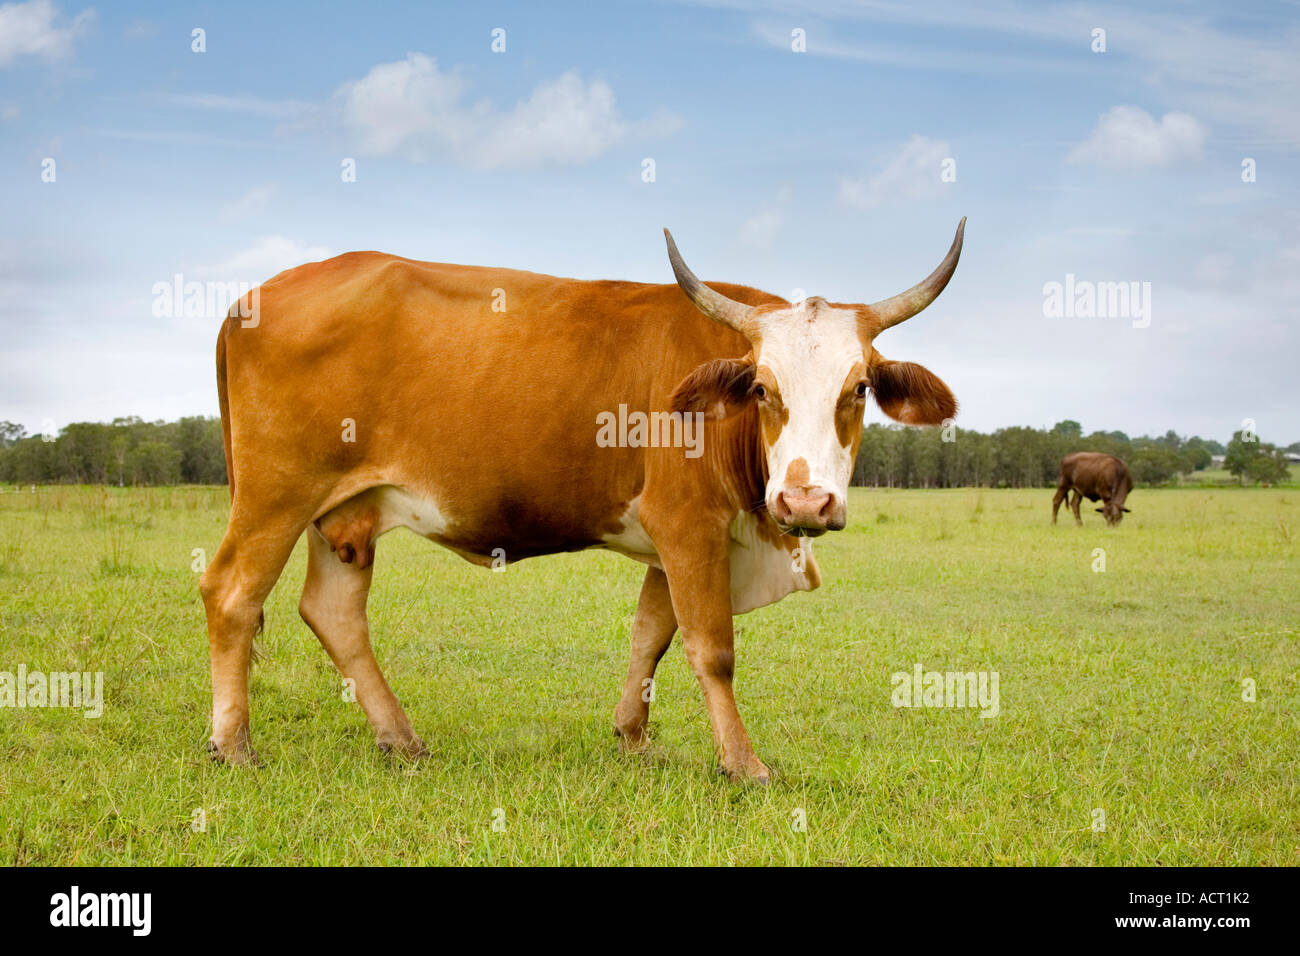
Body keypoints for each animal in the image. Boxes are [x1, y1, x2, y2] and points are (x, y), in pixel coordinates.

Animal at [200, 219, 965, 782]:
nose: (805, 501)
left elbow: (651, 632)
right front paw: (743, 763)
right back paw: (233, 743)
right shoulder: (687, 523)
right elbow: (711, 646)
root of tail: (252, 297)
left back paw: (400, 738)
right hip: (276, 496)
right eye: (761, 389)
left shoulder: (674, 537)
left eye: (858, 388)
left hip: (342, 514)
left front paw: (633, 736)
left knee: (333, 613)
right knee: (232, 593)